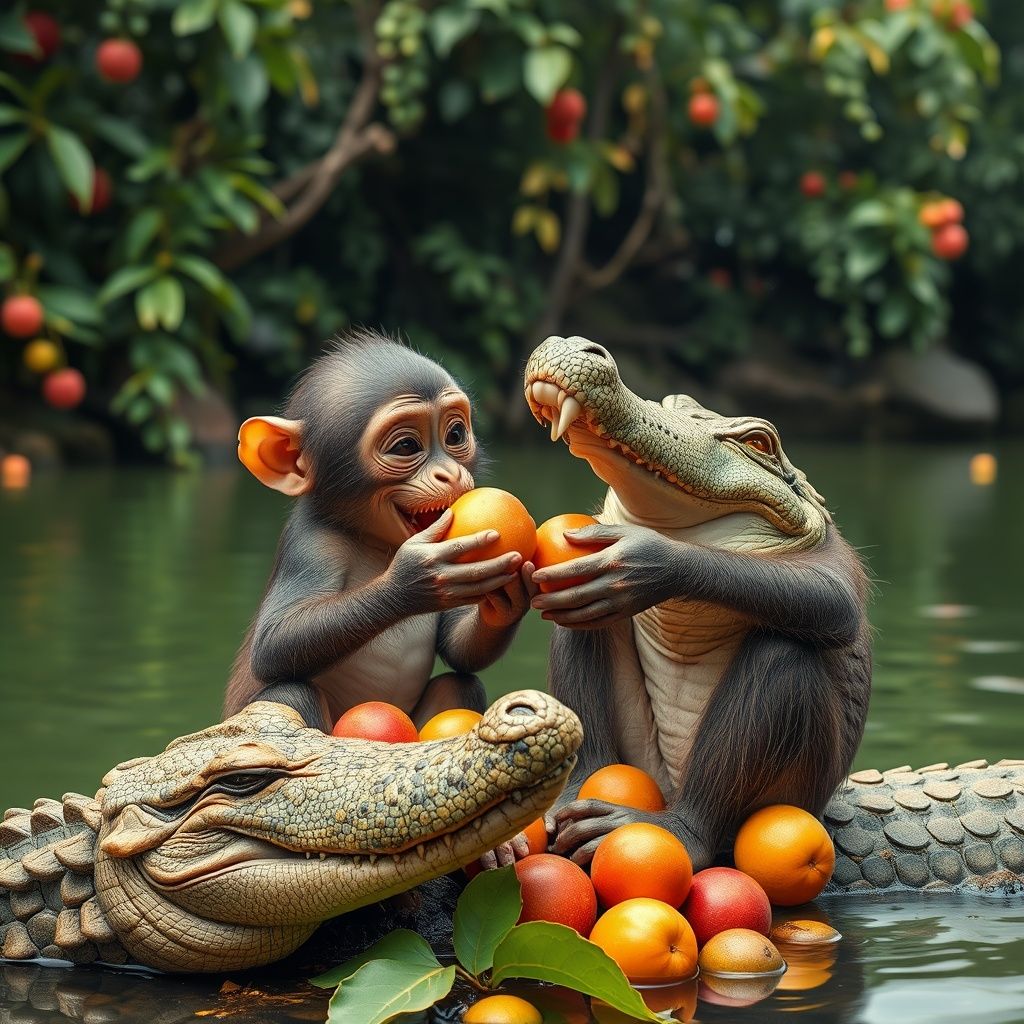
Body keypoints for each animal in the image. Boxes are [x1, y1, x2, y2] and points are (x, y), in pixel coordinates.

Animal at [224, 331, 538, 748]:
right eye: (406, 447)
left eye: (455, 435)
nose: (450, 474)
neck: (376, 542)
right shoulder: (311, 545)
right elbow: (275, 643)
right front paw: (413, 578)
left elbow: (458, 649)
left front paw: (508, 599)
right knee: (290, 691)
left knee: (461, 684)